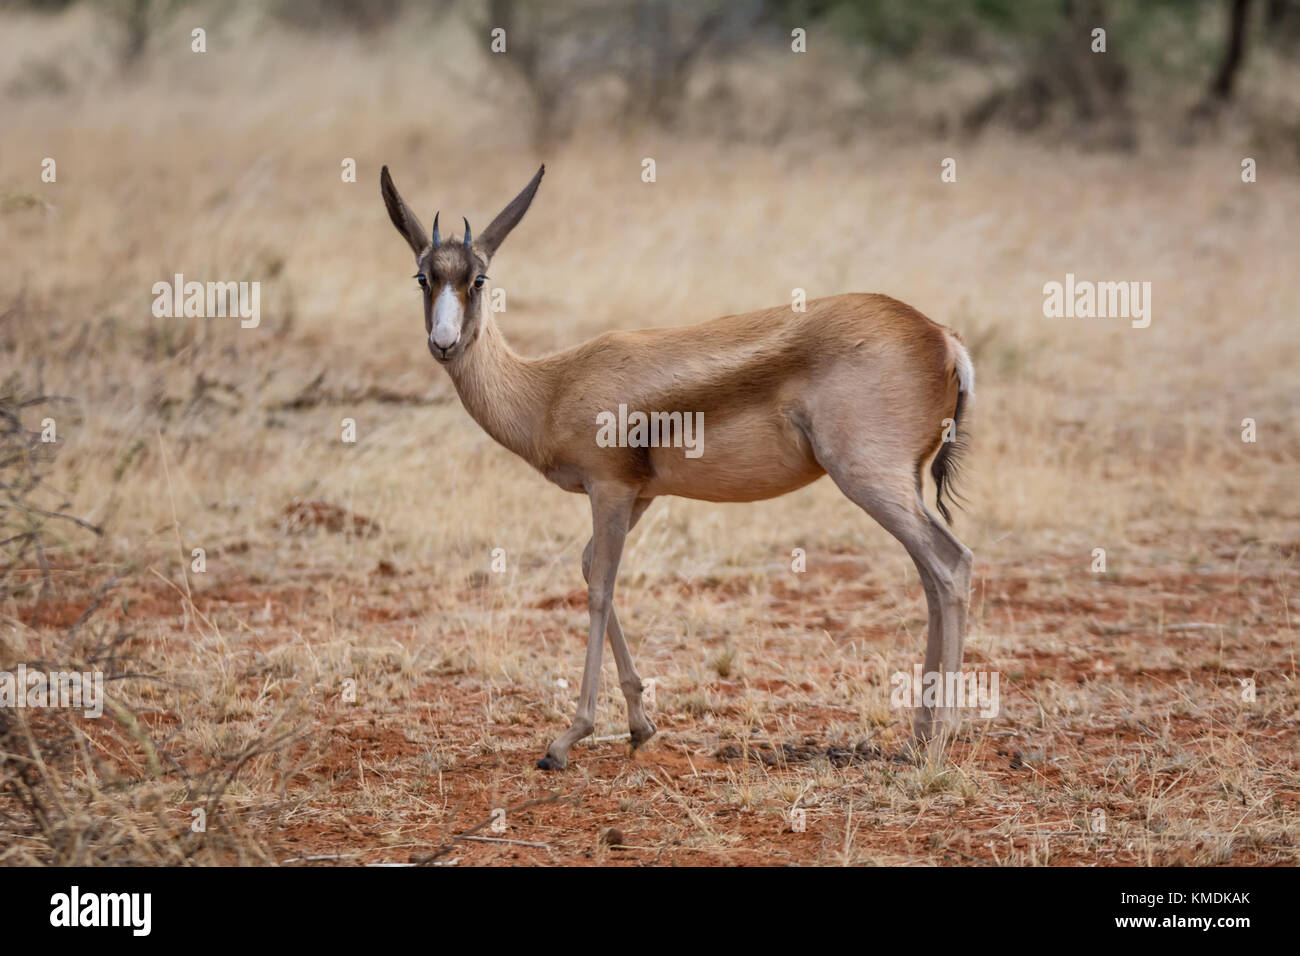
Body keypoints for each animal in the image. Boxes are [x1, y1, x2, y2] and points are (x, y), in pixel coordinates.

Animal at [380, 164, 975, 770]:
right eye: (423, 276)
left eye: (478, 279)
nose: (444, 343)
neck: (549, 388)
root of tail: (942, 339)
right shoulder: (640, 494)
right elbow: (591, 567)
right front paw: (640, 725)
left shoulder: (609, 487)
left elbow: (600, 587)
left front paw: (567, 740)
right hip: (900, 486)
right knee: (930, 575)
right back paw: (919, 733)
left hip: (869, 479)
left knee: (951, 564)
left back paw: (939, 738)